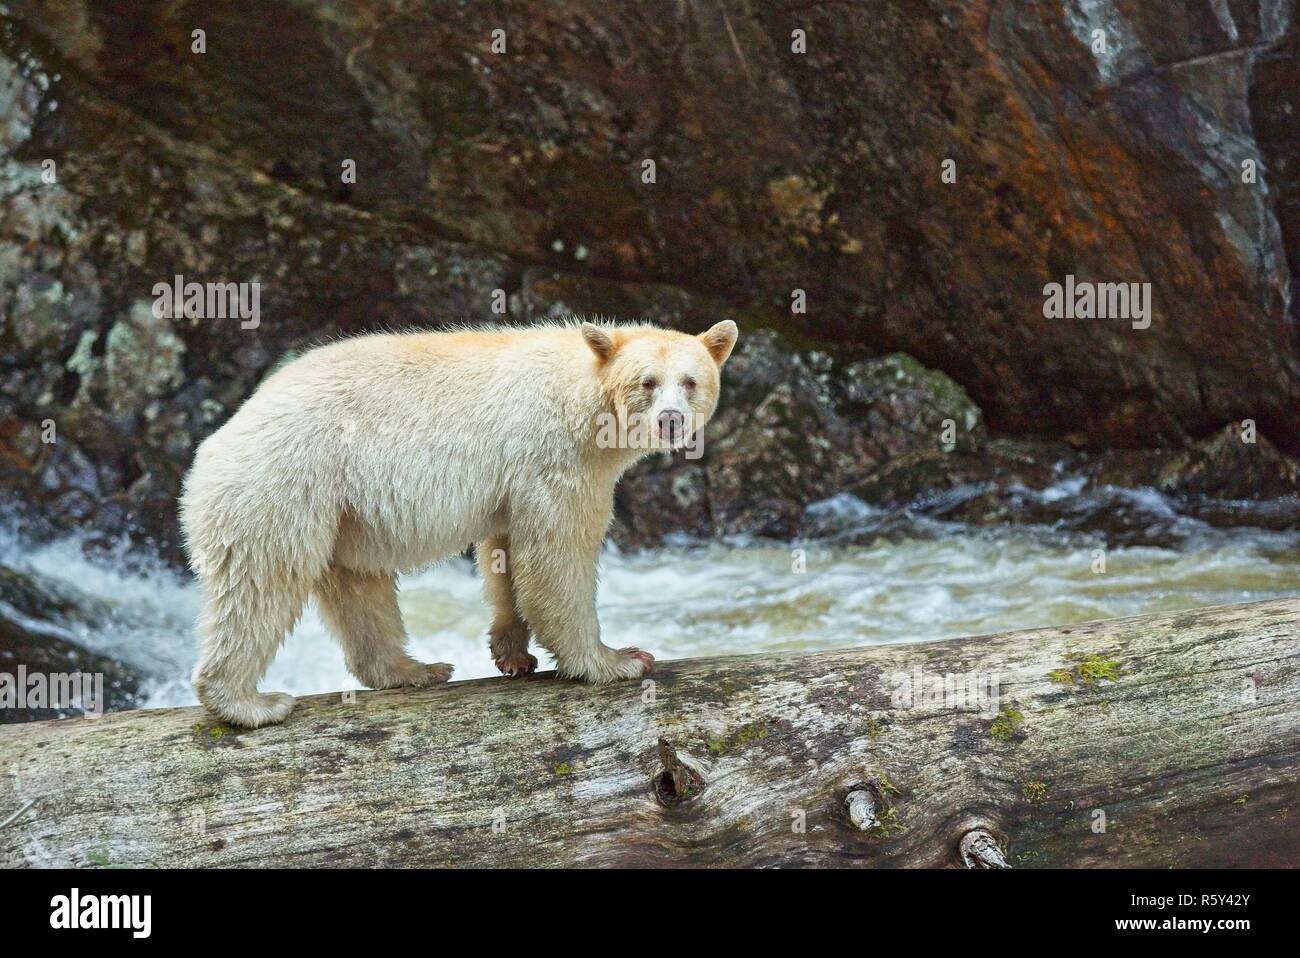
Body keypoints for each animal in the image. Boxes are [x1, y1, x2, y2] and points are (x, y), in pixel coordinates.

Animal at [178, 319, 738, 722]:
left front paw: (512, 653)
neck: (581, 393)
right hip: (284, 485)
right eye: (648, 382)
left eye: (691, 381)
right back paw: (249, 703)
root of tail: (214, 444)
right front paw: (615, 660)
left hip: (340, 511)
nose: (671, 419)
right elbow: (558, 554)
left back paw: (414, 669)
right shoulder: (556, 456)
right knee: (264, 583)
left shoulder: (517, 479)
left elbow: (505, 552)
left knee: (358, 586)